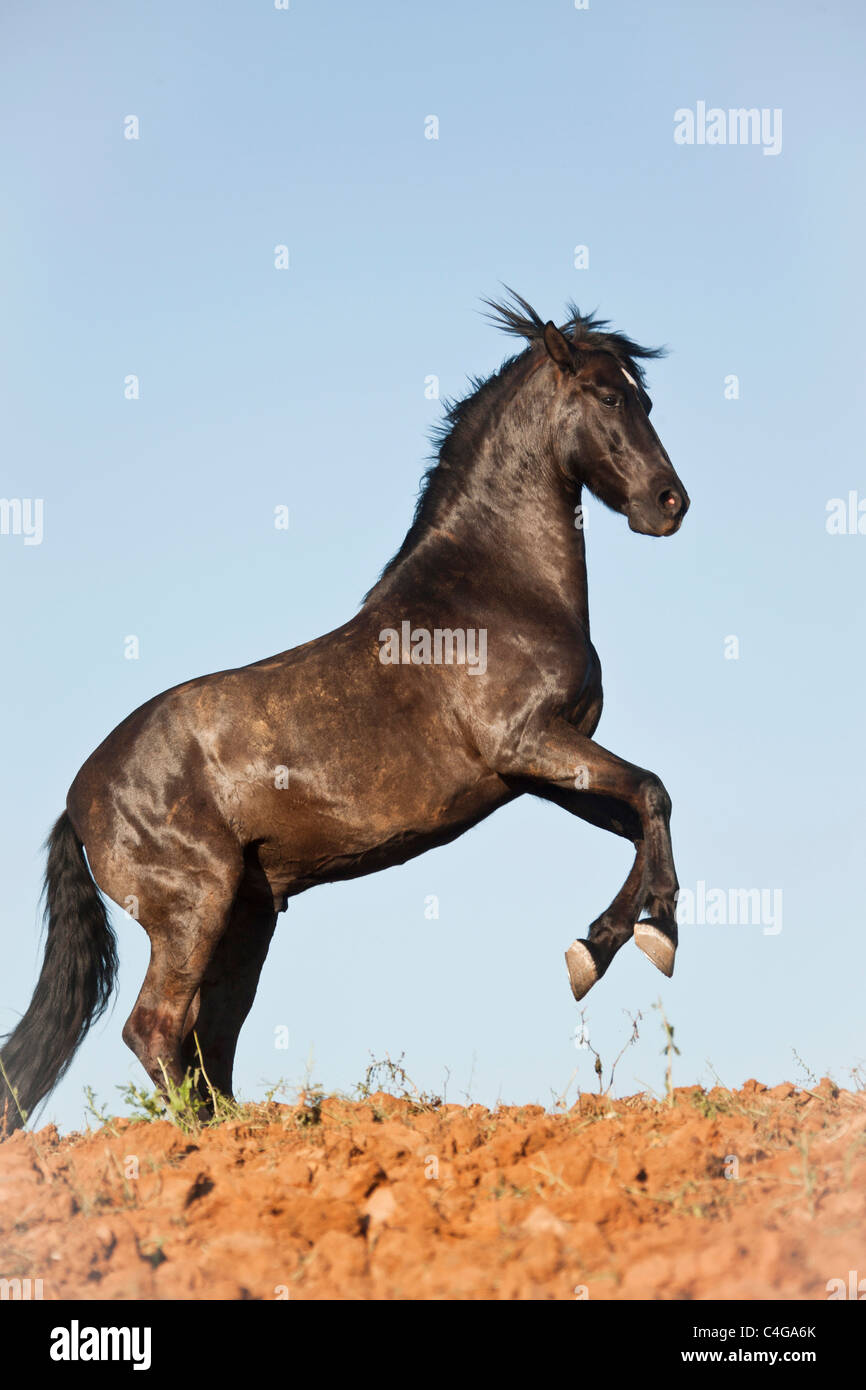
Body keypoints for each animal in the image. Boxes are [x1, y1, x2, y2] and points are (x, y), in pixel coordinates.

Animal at [0, 290, 689, 1134]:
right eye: (608, 396)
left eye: (645, 397)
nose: (670, 504)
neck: (498, 591)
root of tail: (78, 800)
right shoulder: (529, 744)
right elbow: (654, 791)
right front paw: (636, 942)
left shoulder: (544, 770)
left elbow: (640, 815)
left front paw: (612, 941)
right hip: (194, 908)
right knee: (156, 1028)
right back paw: (206, 1142)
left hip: (248, 916)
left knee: (210, 1037)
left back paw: (237, 1130)